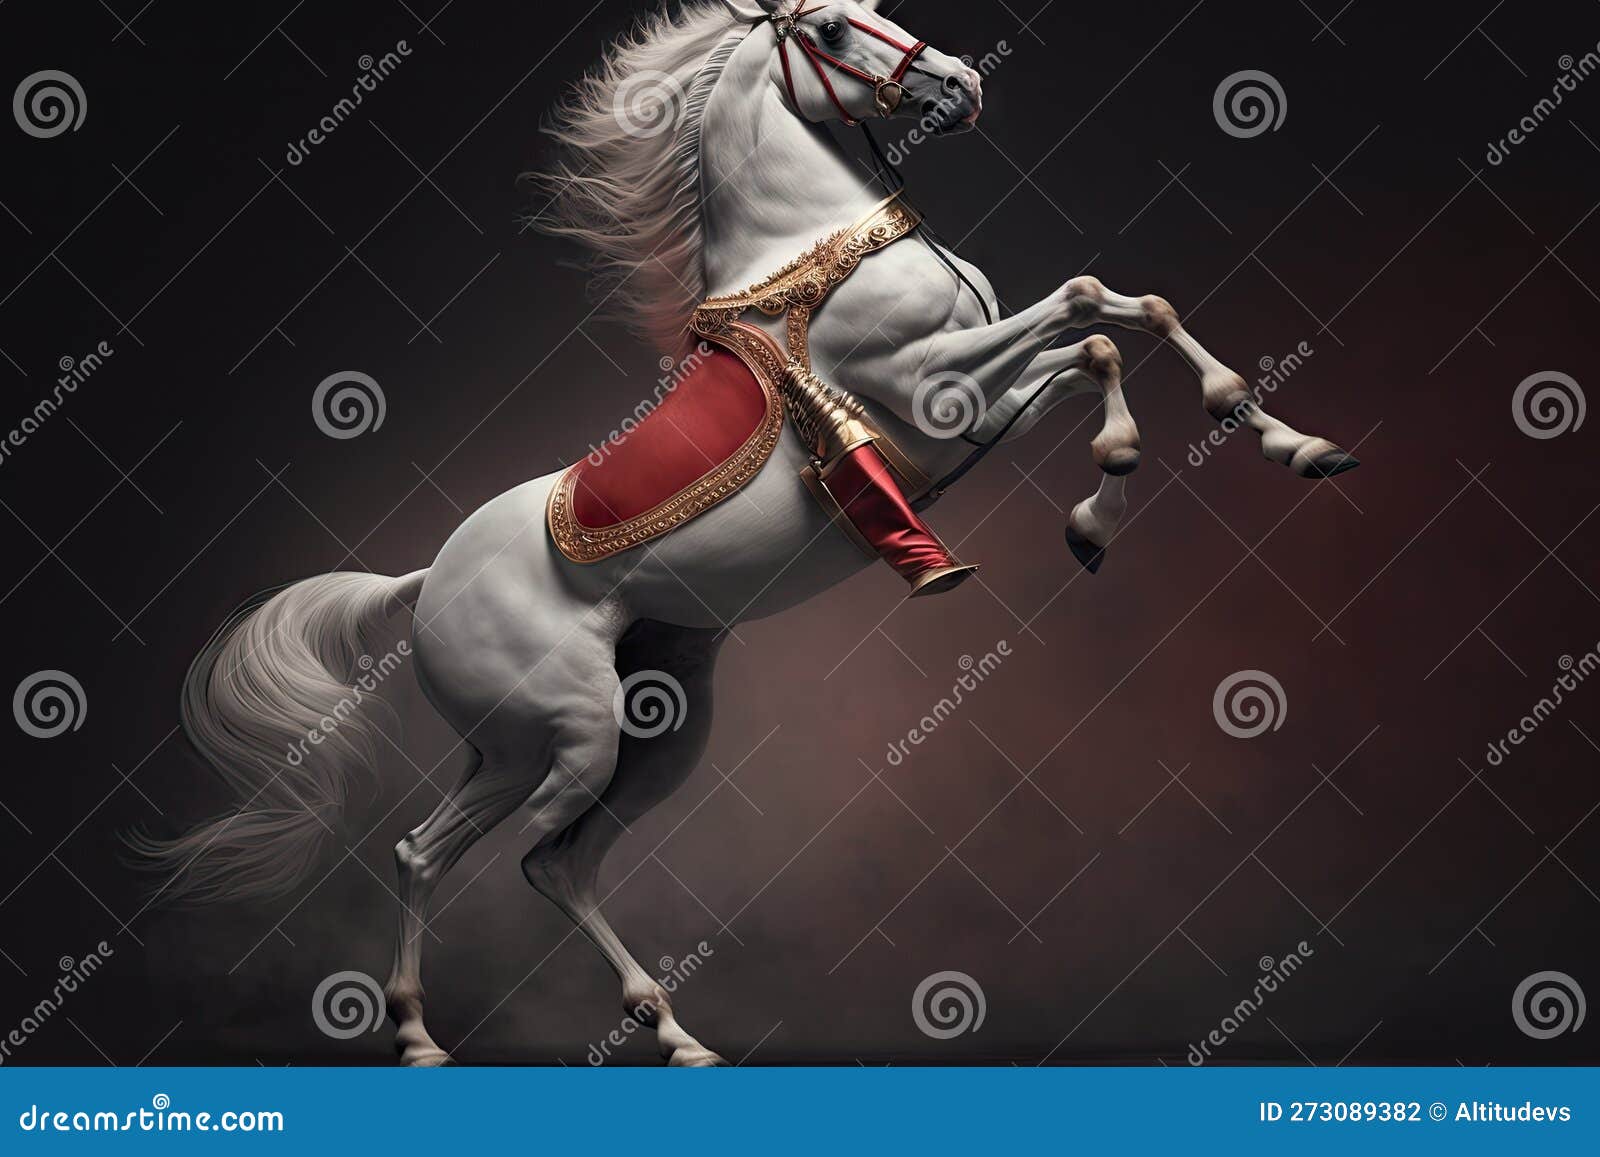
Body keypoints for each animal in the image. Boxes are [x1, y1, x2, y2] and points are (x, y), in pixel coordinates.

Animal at [134, 0, 1358, 1066]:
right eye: (831, 29)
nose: (961, 82)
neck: (811, 251)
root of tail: (428, 578)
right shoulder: (940, 387)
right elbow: (1092, 322)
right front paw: (1108, 495)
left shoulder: (980, 414)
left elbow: (1118, 313)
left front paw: (1280, 444)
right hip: (558, 738)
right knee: (450, 852)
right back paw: (423, 1037)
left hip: (644, 735)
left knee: (552, 863)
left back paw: (674, 1032)